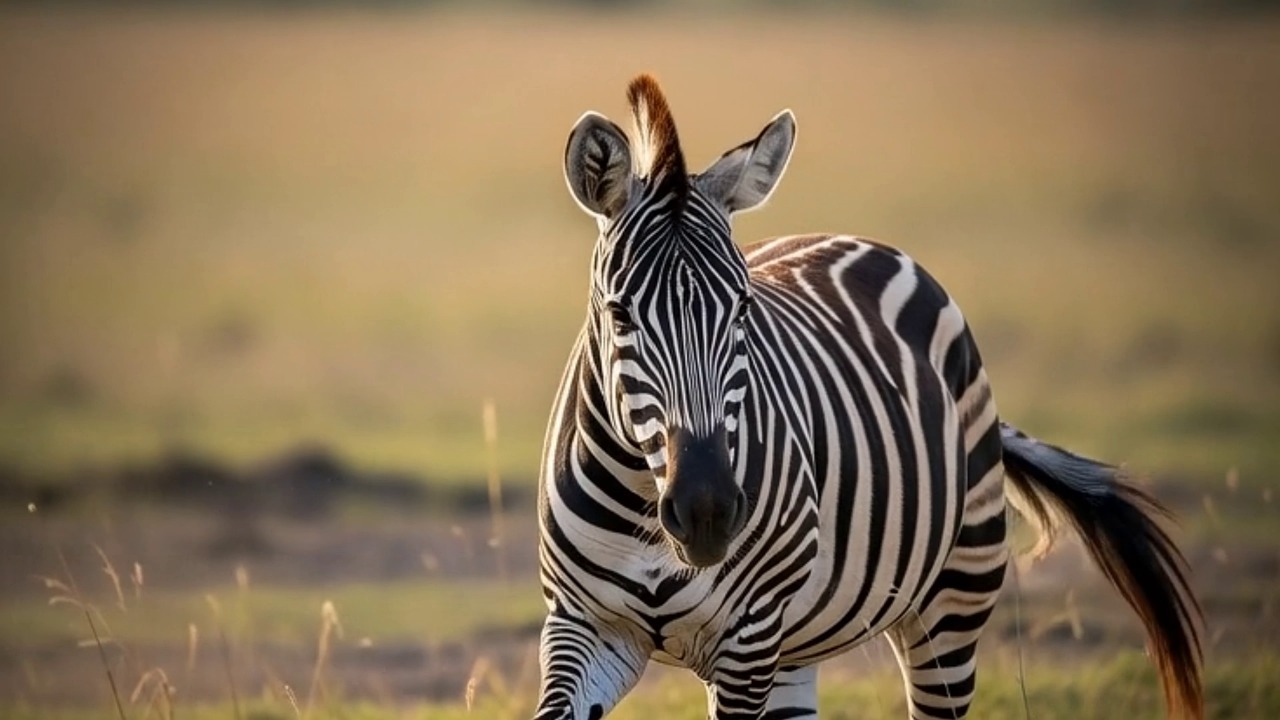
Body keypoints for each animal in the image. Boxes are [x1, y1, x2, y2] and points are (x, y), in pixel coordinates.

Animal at [535, 74, 1204, 720]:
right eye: (620, 315)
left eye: (743, 309)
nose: (707, 511)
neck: (643, 504)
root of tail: (853, 239)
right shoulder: (583, 625)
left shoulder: (747, 639)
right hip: (794, 648)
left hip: (952, 601)